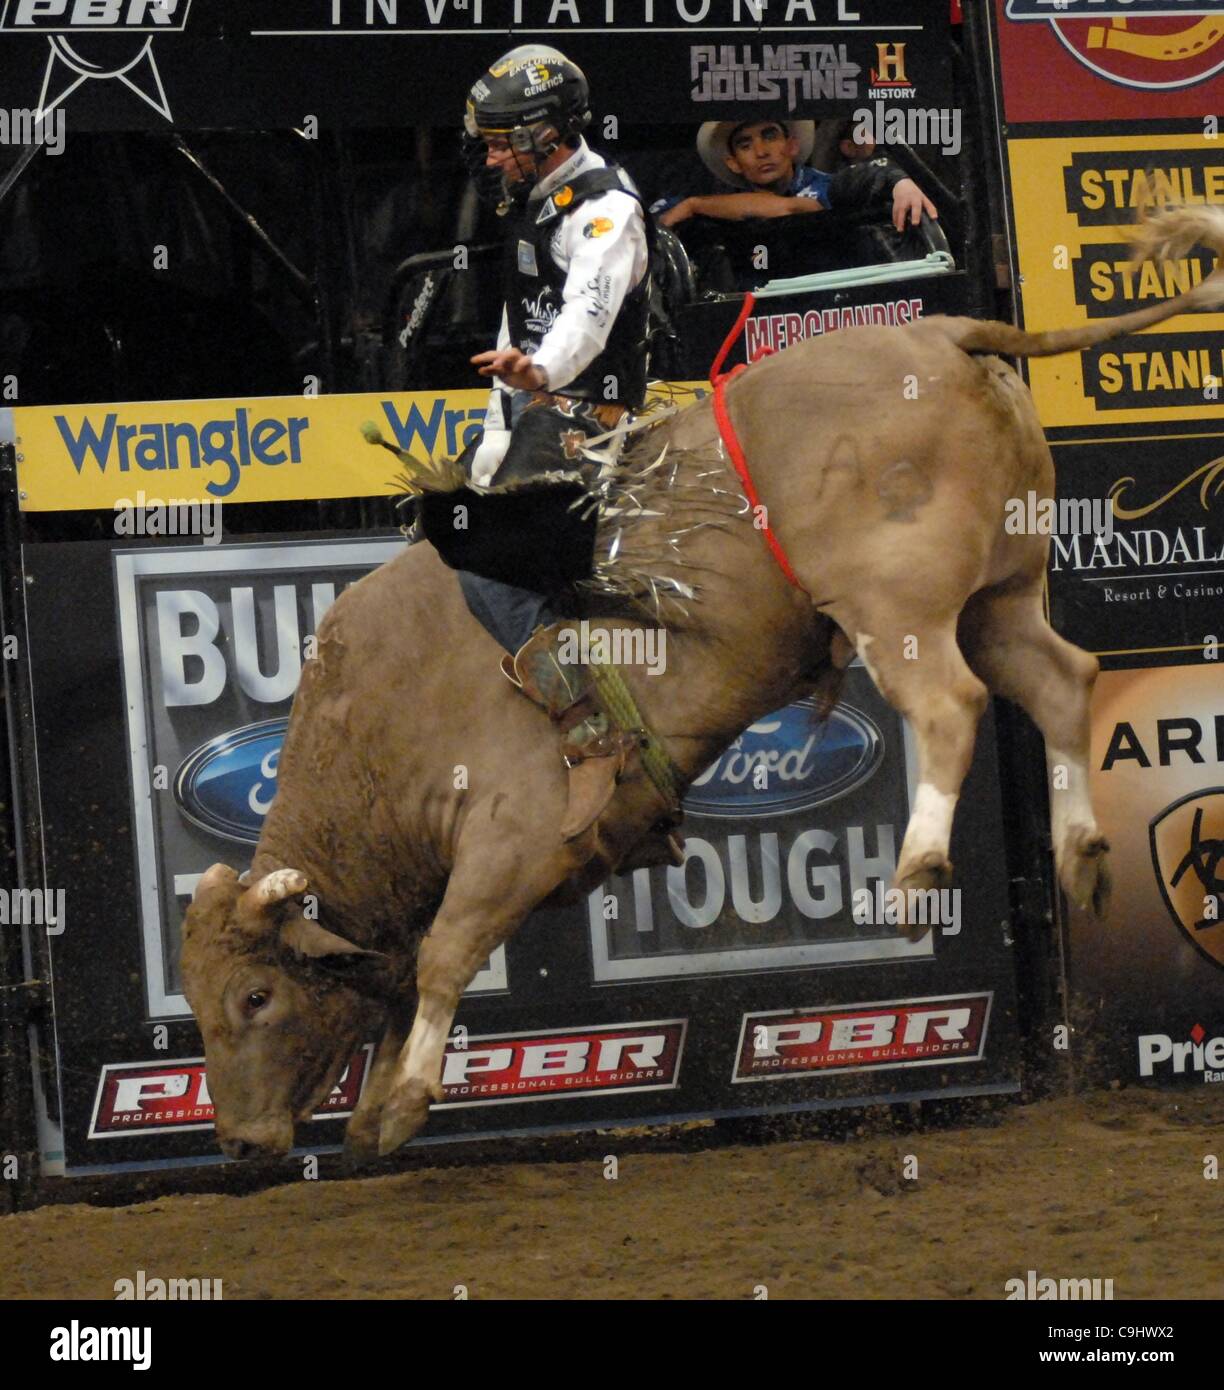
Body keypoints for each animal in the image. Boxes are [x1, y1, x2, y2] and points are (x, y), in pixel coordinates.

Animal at [183, 205, 1223, 1163]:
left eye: (256, 995)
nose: (238, 1141)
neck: (378, 732)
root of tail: (943, 333)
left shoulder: (517, 837)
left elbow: (440, 958)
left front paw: (400, 1100)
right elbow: (401, 976)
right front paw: (373, 1113)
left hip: (895, 601)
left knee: (951, 705)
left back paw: (920, 866)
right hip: (998, 597)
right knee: (1061, 680)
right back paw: (1081, 852)